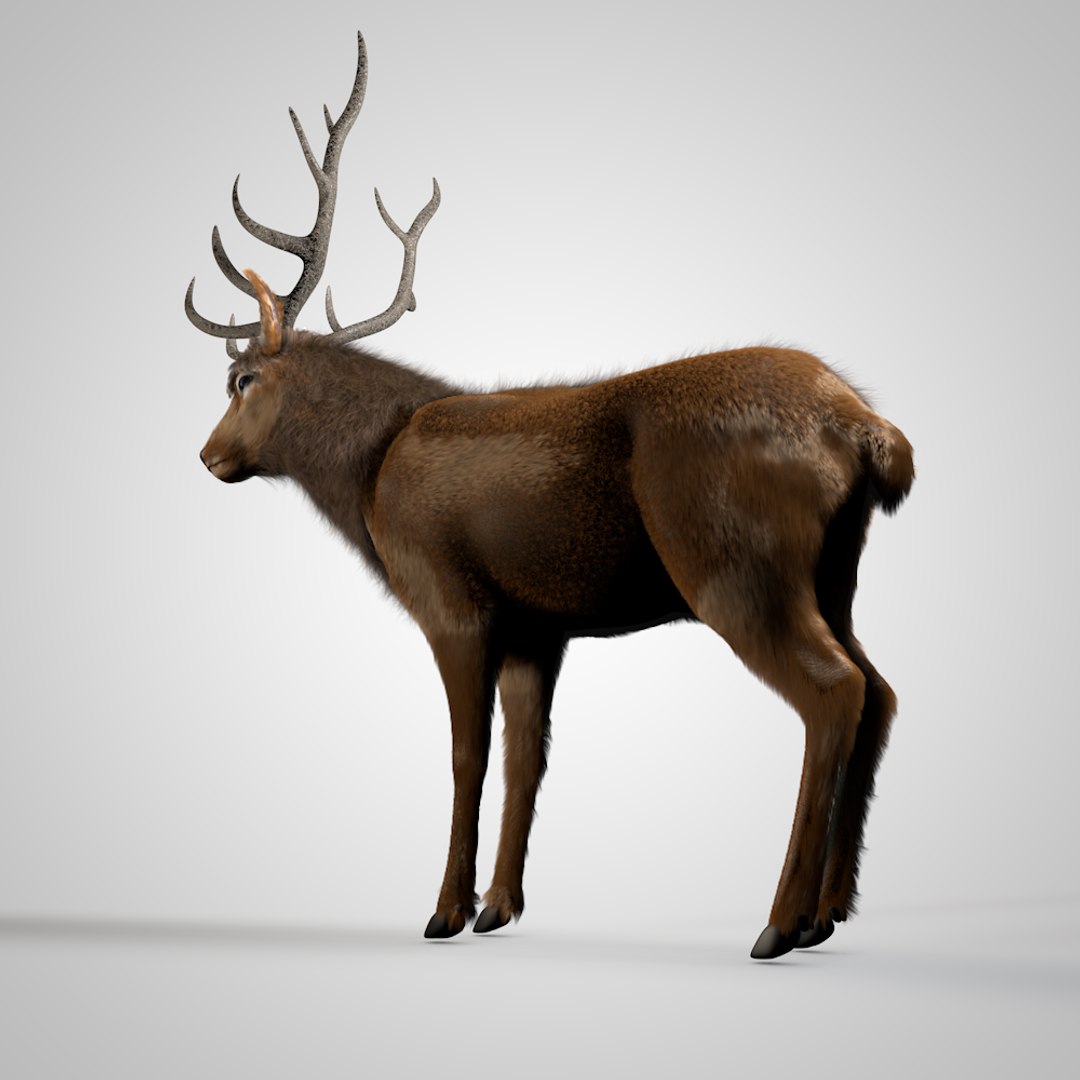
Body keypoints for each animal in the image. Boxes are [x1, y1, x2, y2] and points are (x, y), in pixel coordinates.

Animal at [188, 32, 914, 960]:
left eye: (240, 379)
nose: (208, 457)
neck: (370, 473)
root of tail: (869, 429)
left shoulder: (453, 602)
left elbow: (467, 755)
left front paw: (444, 910)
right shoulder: (537, 627)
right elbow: (527, 756)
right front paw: (500, 904)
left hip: (735, 565)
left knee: (834, 688)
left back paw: (781, 922)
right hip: (835, 571)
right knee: (880, 688)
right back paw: (828, 913)